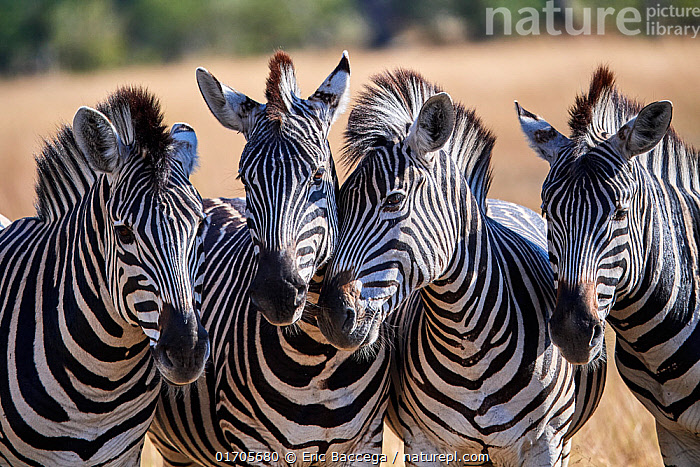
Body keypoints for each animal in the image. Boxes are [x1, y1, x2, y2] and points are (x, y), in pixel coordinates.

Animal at [148, 51, 391, 466]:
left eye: (317, 176)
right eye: (246, 181)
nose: (276, 295)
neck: (317, 360)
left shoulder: (366, 446)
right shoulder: (251, 448)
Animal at [316, 69, 605, 466]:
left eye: (394, 200)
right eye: (340, 204)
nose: (331, 315)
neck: (468, 341)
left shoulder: (546, 444)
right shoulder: (425, 443)